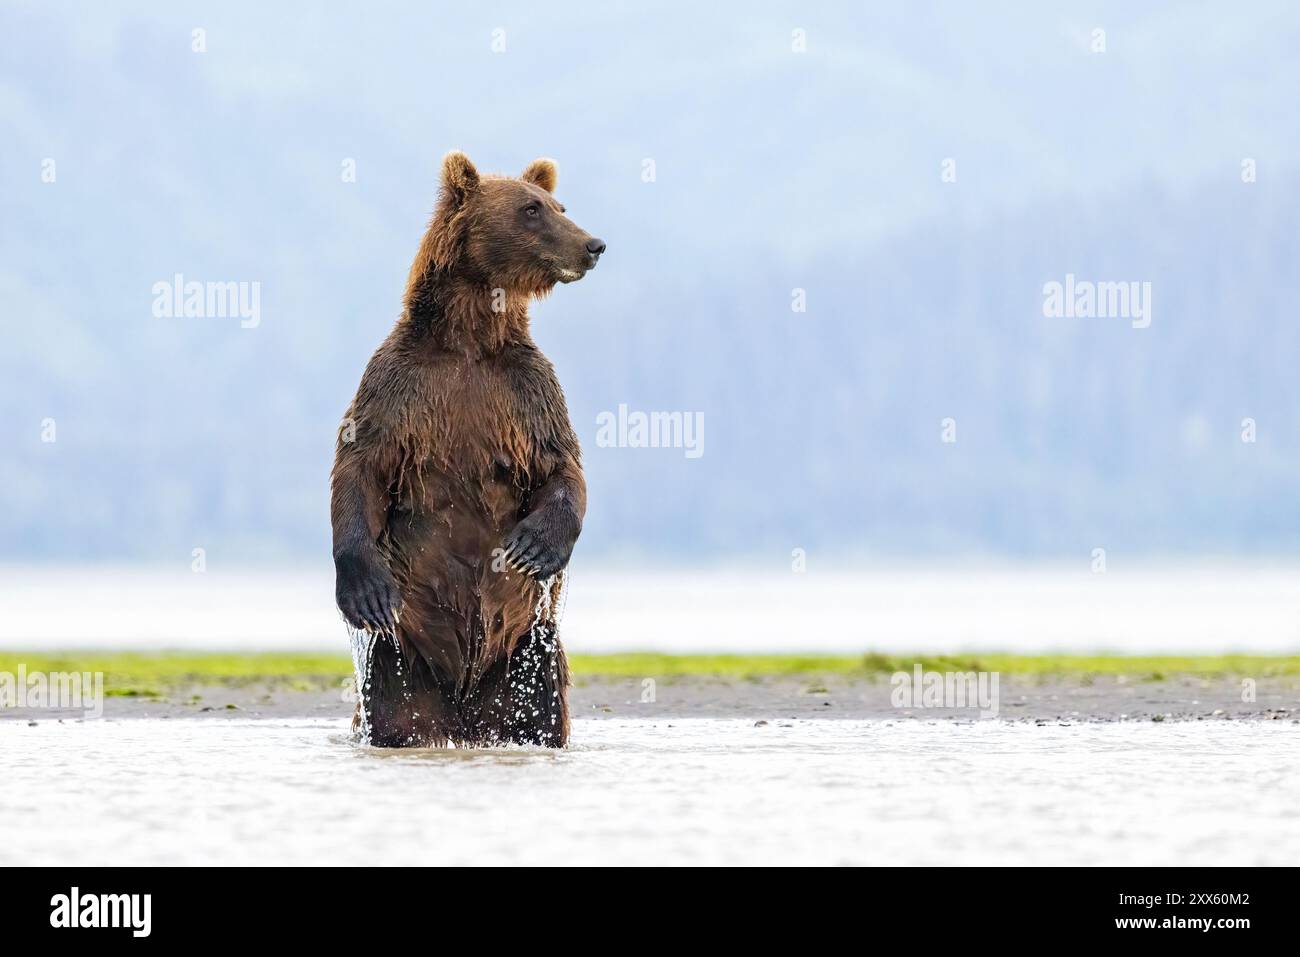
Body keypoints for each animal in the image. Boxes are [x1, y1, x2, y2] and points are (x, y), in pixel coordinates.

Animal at [330, 151, 605, 748]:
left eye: (560, 206)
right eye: (531, 209)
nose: (593, 244)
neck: (469, 340)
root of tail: (462, 710)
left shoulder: (525, 391)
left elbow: (563, 464)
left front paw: (533, 546)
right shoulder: (398, 386)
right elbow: (359, 466)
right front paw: (365, 592)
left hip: (529, 660)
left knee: (542, 715)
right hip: (400, 667)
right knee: (395, 717)